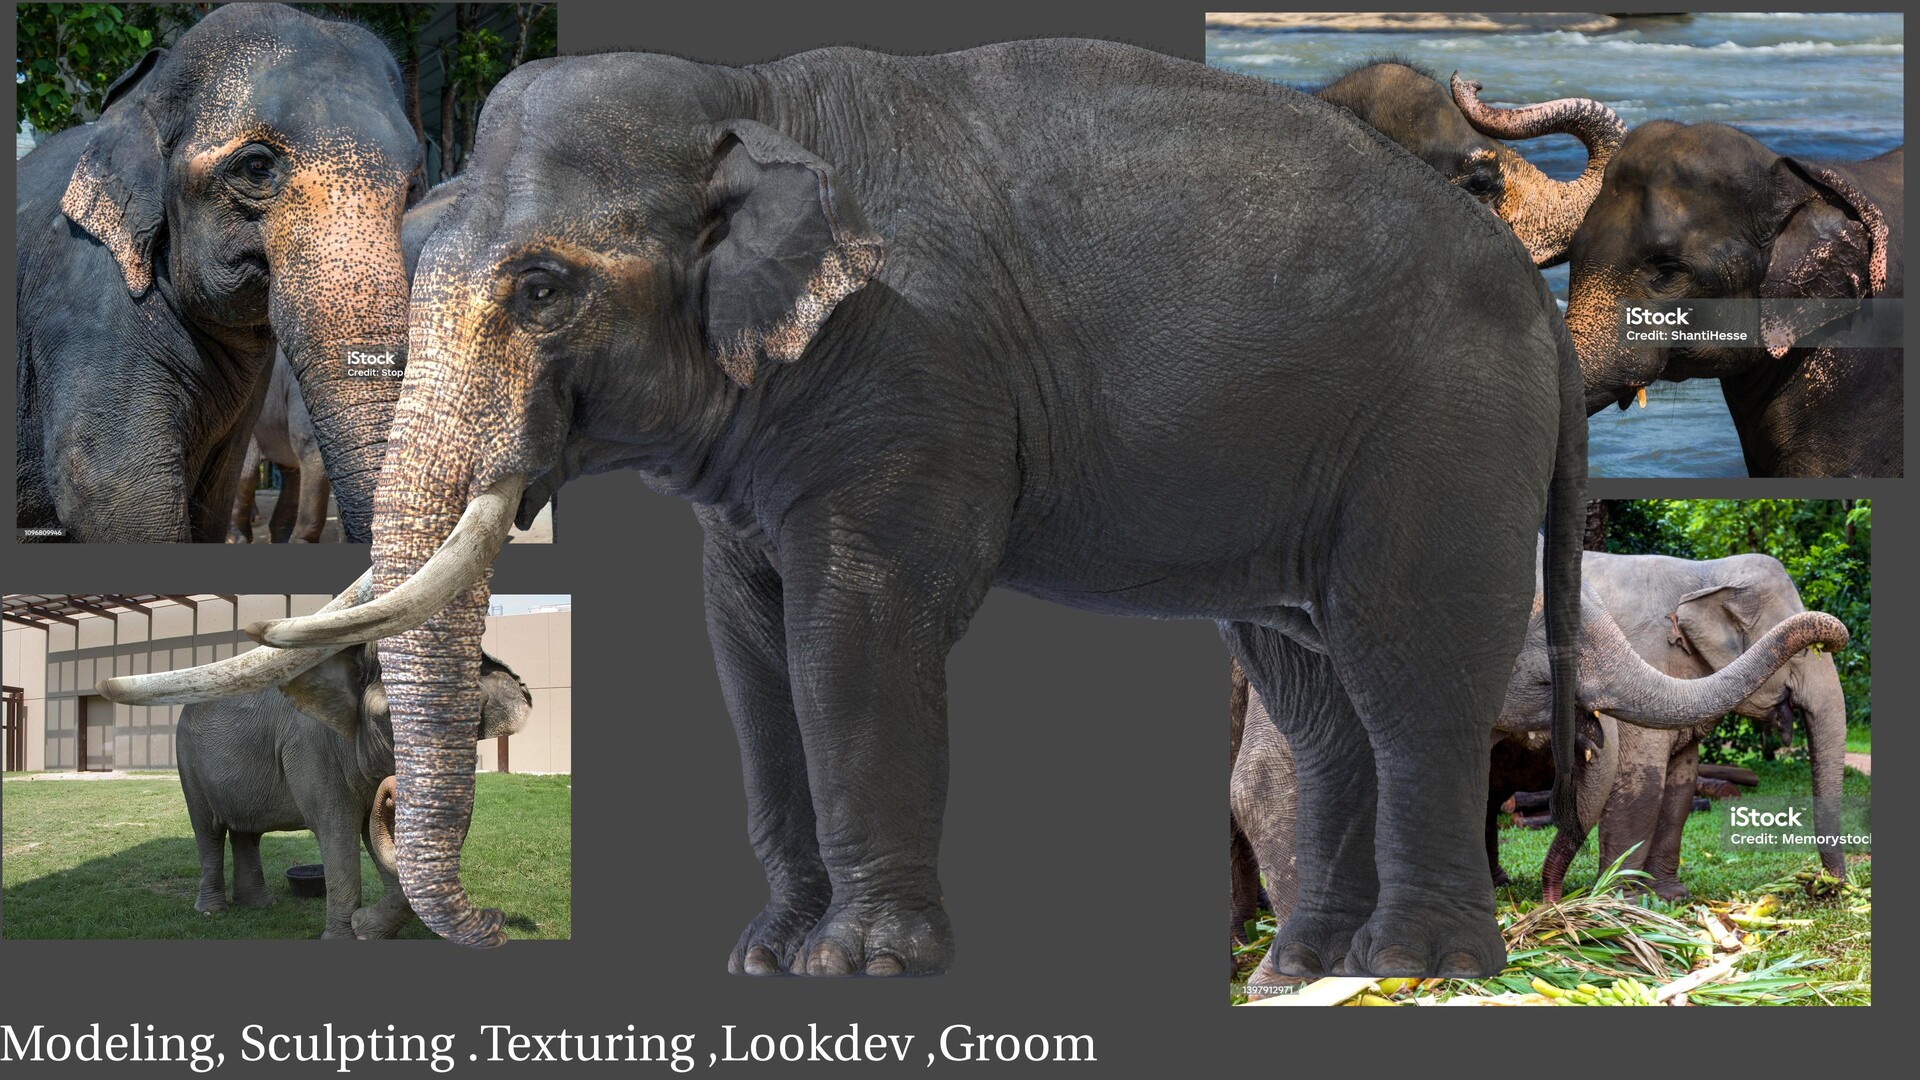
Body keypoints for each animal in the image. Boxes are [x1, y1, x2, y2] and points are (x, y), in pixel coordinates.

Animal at [175, 642, 528, 938]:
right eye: (393, 717)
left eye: (476, 716)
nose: (498, 920)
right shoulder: (311, 747)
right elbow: (338, 829)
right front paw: (346, 936)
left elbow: (375, 833)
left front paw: (367, 931)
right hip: (188, 762)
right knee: (208, 829)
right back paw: (211, 912)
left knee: (246, 833)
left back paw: (261, 905)